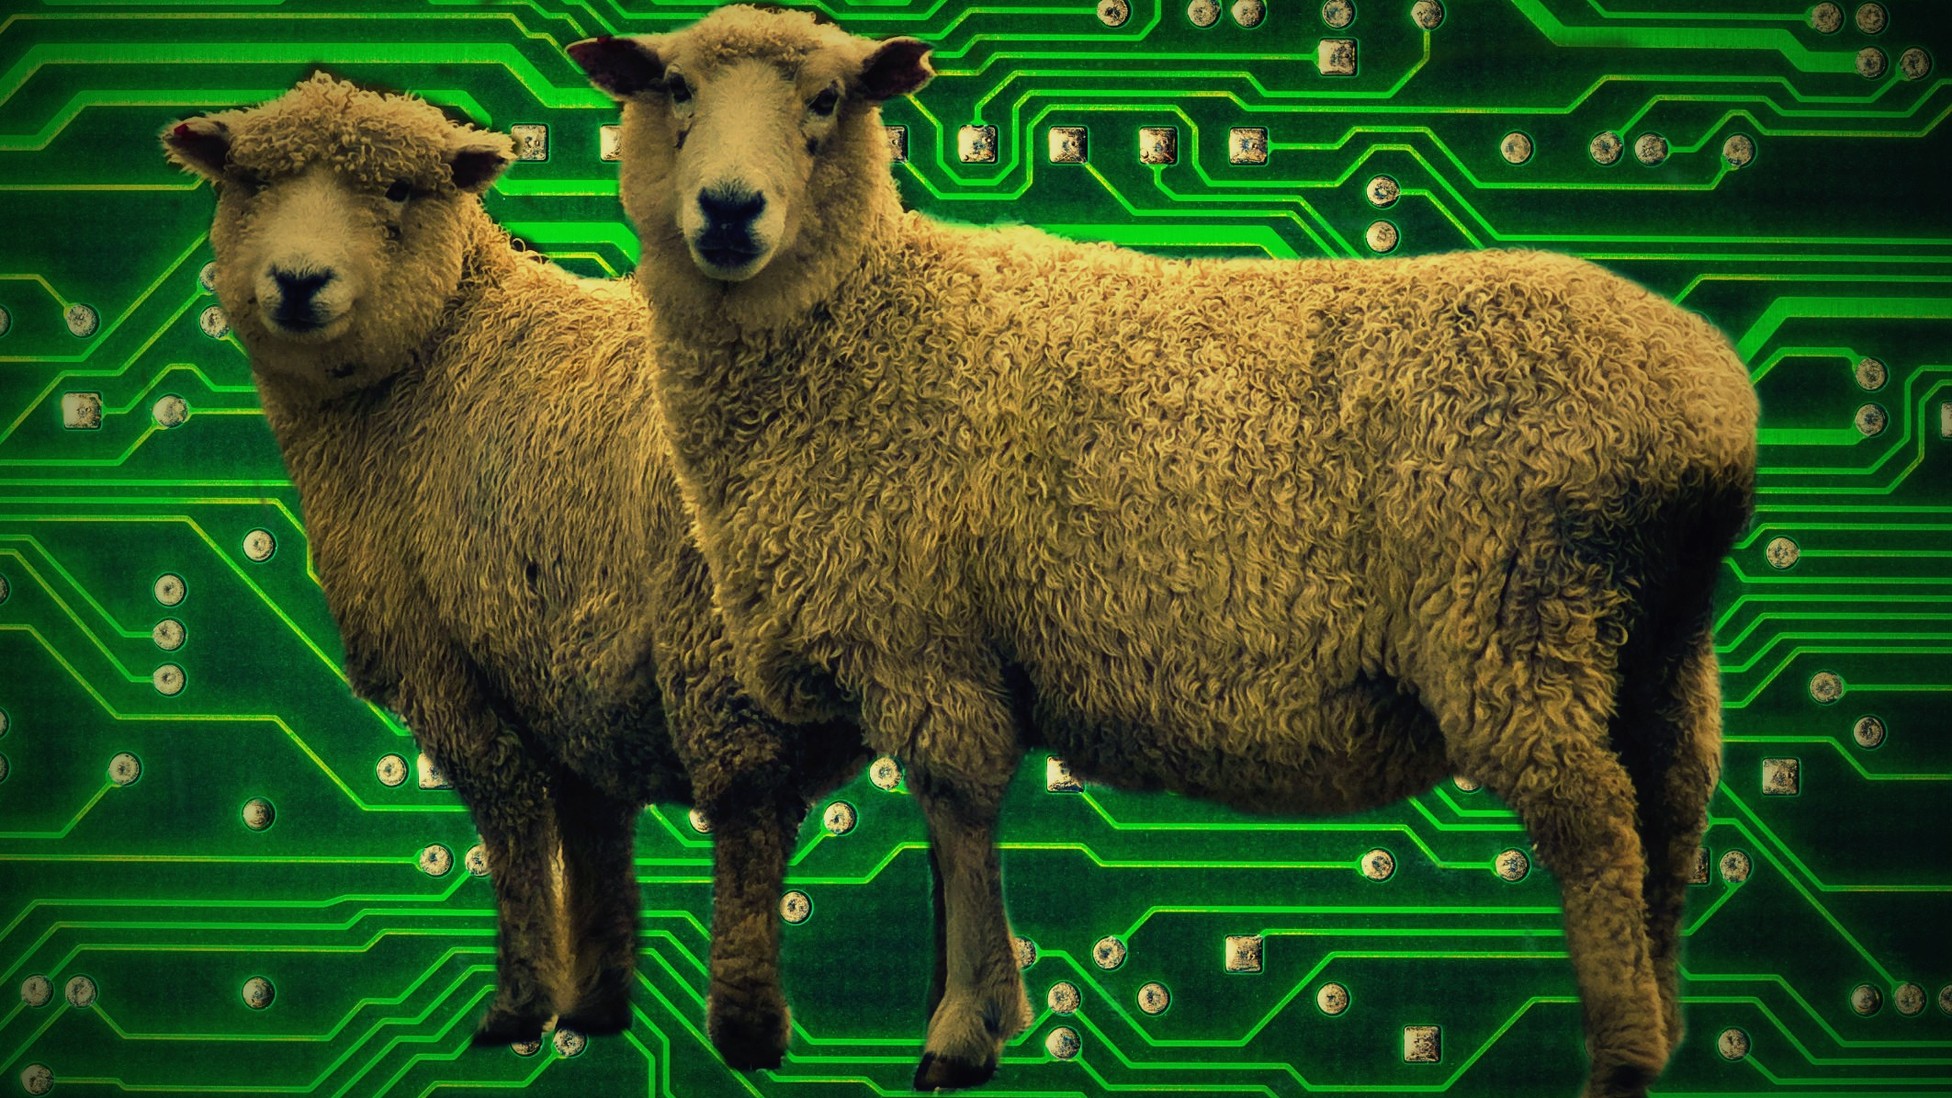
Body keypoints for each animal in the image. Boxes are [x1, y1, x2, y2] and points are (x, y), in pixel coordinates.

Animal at [159, 71, 870, 1068]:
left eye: (399, 190)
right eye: (250, 183)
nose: (297, 282)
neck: (443, 354)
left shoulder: (451, 658)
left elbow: (510, 819)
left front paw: (521, 1005)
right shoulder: (564, 675)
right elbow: (594, 830)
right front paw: (599, 1002)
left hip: (716, 648)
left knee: (748, 807)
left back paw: (746, 1027)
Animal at [572, 8, 1761, 1096]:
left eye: (827, 99)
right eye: (673, 87)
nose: (730, 209)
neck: (865, 318)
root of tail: (1707, 409)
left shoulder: (926, 636)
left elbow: (956, 806)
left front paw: (962, 1028)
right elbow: (946, 828)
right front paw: (976, 1007)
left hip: (1513, 616)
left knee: (1594, 823)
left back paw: (1622, 1060)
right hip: (1651, 640)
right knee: (1669, 808)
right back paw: (1666, 1019)